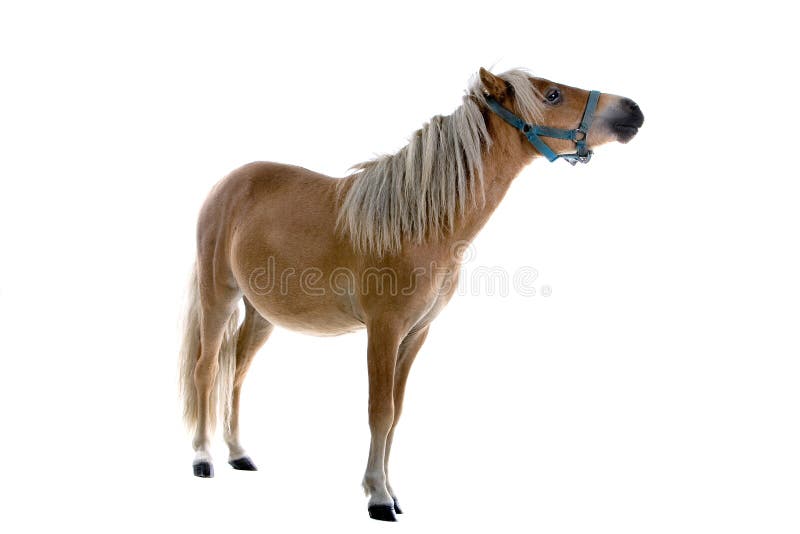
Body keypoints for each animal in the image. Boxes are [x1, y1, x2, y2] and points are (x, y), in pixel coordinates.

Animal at [178, 67, 644, 521]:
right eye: (551, 95)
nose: (632, 110)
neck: (417, 223)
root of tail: (225, 185)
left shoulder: (415, 333)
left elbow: (396, 414)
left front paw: (391, 491)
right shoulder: (383, 332)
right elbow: (379, 411)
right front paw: (378, 498)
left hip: (261, 314)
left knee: (236, 372)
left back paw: (238, 453)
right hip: (218, 297)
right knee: (206, 369)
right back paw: (202, 458)